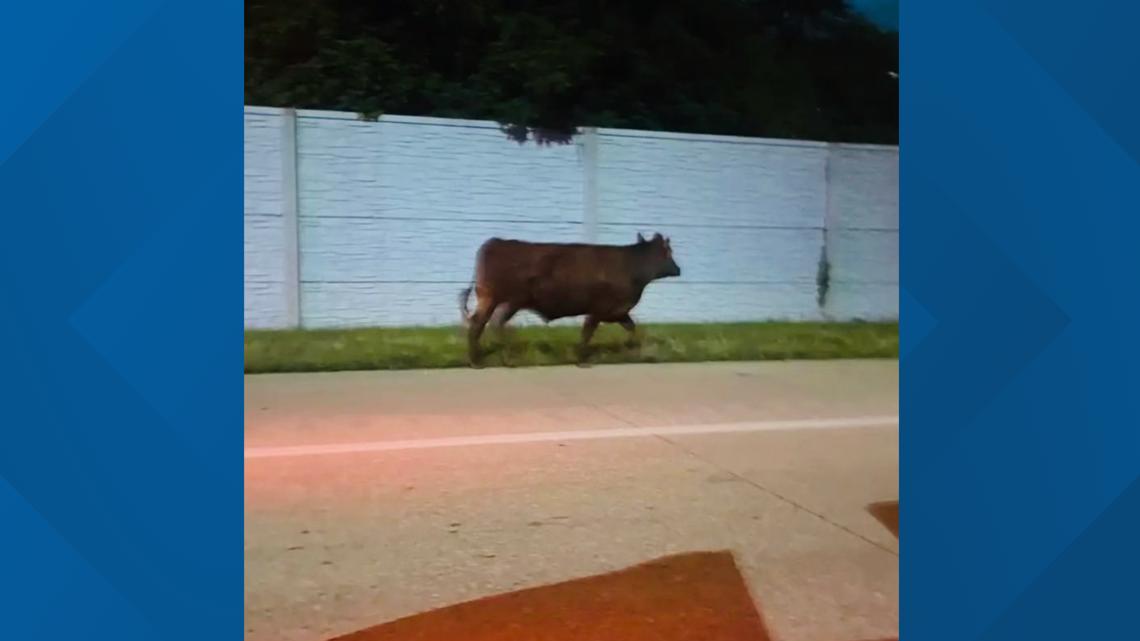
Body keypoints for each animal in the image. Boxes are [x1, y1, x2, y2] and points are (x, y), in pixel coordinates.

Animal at [459, 232, 681, 367]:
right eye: (668, 252)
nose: (678, 269)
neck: (631, 266)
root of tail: (496, 241)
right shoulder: (598, 308)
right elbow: (587, 333)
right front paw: (581, 358)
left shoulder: (617, 311)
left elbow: (632, 328)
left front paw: (633, 349)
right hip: (499, 299)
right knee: (481, 325)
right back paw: (481, 360)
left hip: (502, 301)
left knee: (490, 324)